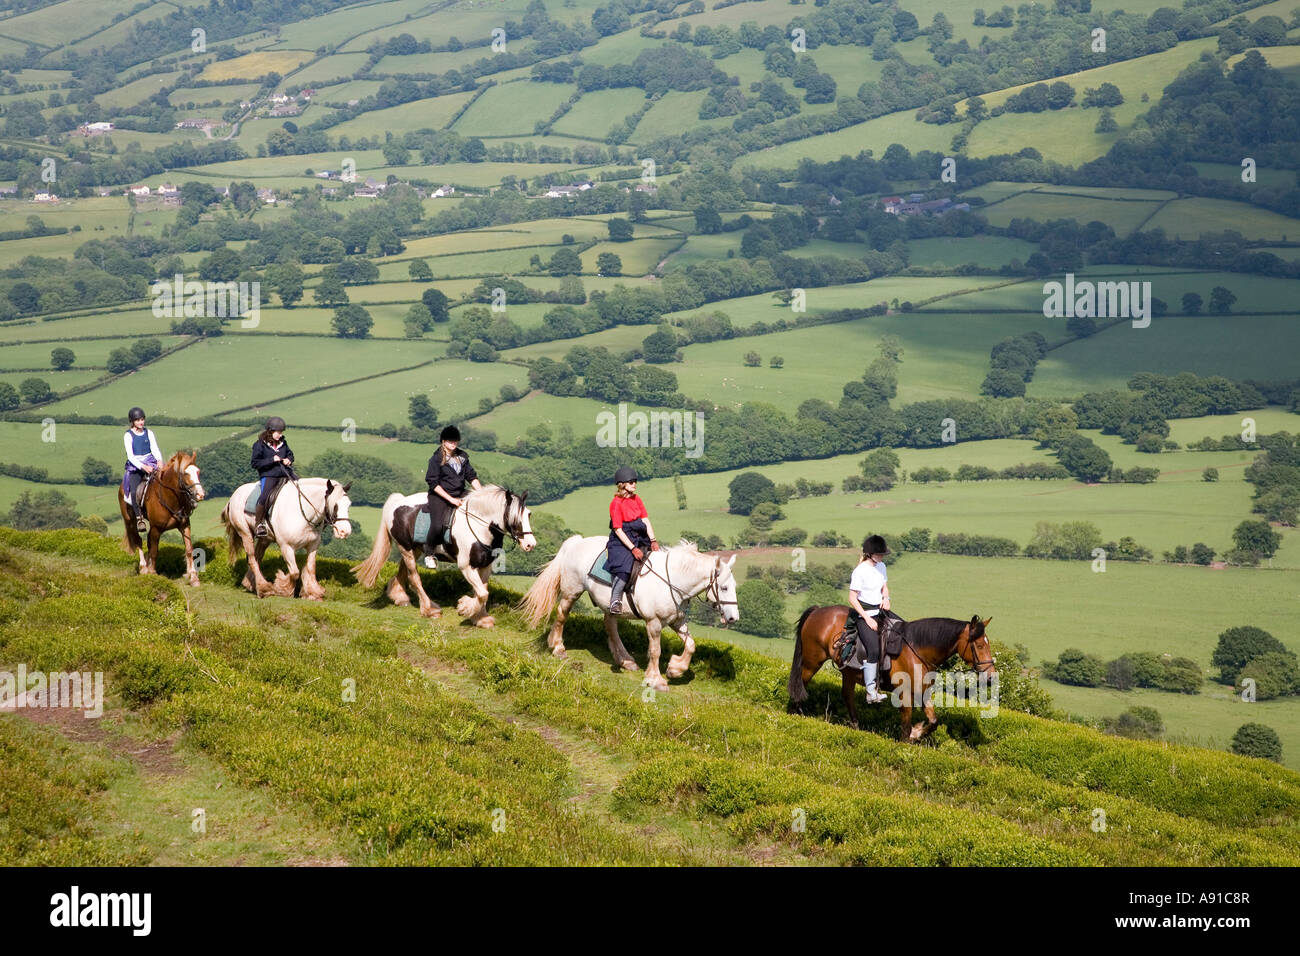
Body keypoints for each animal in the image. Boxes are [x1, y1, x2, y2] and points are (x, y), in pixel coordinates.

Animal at [118, 450, 206, 585]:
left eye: (198, 471)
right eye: (185, 473)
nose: (200, 495)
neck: (170, 498)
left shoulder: (184, 525)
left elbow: (189, 550)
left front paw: (193, 577)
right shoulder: (156, 528)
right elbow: (155, 551)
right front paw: (153, 573)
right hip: (131, 521)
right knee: (138, 540)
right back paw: (144, 568)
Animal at [220, 476, 353, 600]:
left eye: (349, 504)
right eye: (335, 505)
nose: (344, 531)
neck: (303, 511)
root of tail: (234, 495)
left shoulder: (313, 546)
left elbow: (310, 568)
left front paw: (313, 593)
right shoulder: (286, 546)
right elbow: (294, 572)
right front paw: (283, 588)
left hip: (265, 539)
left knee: (257, 557)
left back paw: (251, 584)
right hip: (245, 534)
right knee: (252, 559)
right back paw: (264, 588)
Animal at [351, 485, 536, 627]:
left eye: (528, 514)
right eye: (515, 518)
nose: (530, 544)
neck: (480, 527)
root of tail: (398, 502)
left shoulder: (485, 566)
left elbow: (482, 592)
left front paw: (480, 618)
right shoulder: (466, 566)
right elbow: (482, 593)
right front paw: (464, 608)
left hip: (414, 549)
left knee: (404, 572)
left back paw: (400, 597)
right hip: (406, 548)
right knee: (414, 577)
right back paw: (429, 609)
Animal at [519, 535, 739, 692]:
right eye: (724, 587)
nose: (733, 618)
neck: (673, 580)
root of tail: (577, 542)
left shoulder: (677, 620)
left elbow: (691, 645)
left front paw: (675, 669)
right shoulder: (654, 622)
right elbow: (655, 651)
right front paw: (655, 680)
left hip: (608, 604)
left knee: (610, 625)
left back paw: (625, 660)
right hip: (571, 592)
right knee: (562, 615)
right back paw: (557, 647)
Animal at [787, 605, 996, 741]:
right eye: (979, 645)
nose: (991, 676)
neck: (917, 648)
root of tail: (817, 610)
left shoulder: (921, 691)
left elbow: (934, 720)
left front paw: (917, 732)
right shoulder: (904, 692)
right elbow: (905, 722)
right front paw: (907, 739)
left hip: (847, 671)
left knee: (847, 695)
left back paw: (855, 725)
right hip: (812, 662)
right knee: (799, 685)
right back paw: (794, 713)